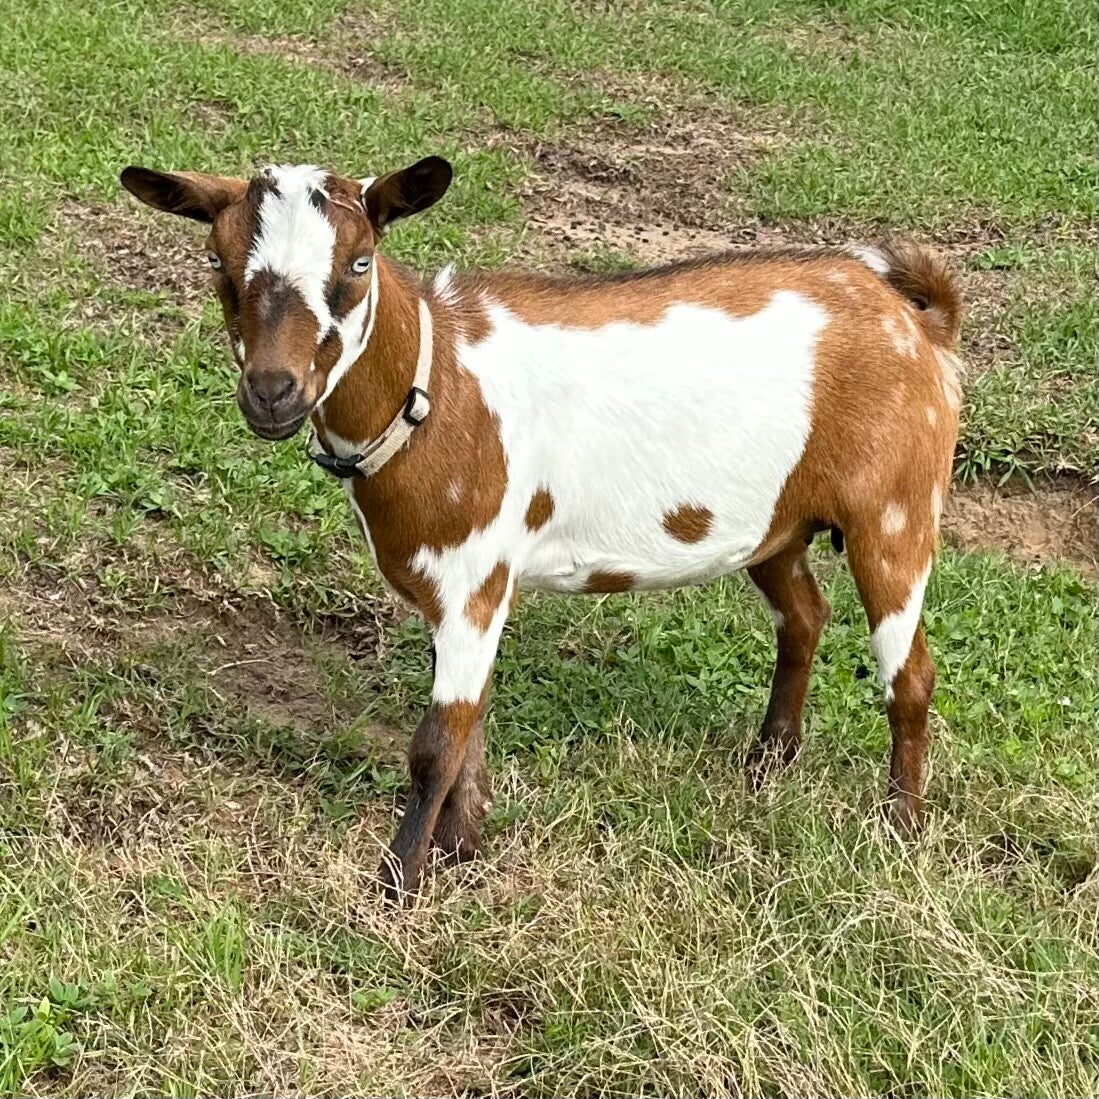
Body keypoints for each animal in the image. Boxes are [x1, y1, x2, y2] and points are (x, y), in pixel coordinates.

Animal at [120, 157, 962, 900]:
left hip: (896, 509)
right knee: (804, 615)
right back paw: (768, 763)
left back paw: (901, 828)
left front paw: (398, 886)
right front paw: (460, 847)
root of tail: (916, 322)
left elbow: (434, 745)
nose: (272, 392)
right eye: (217, 261)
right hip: (775, 522)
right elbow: (470, 724)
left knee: (909, 674)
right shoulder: (452, 588)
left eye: (359, 264)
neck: (439, 383)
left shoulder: (474, 573)